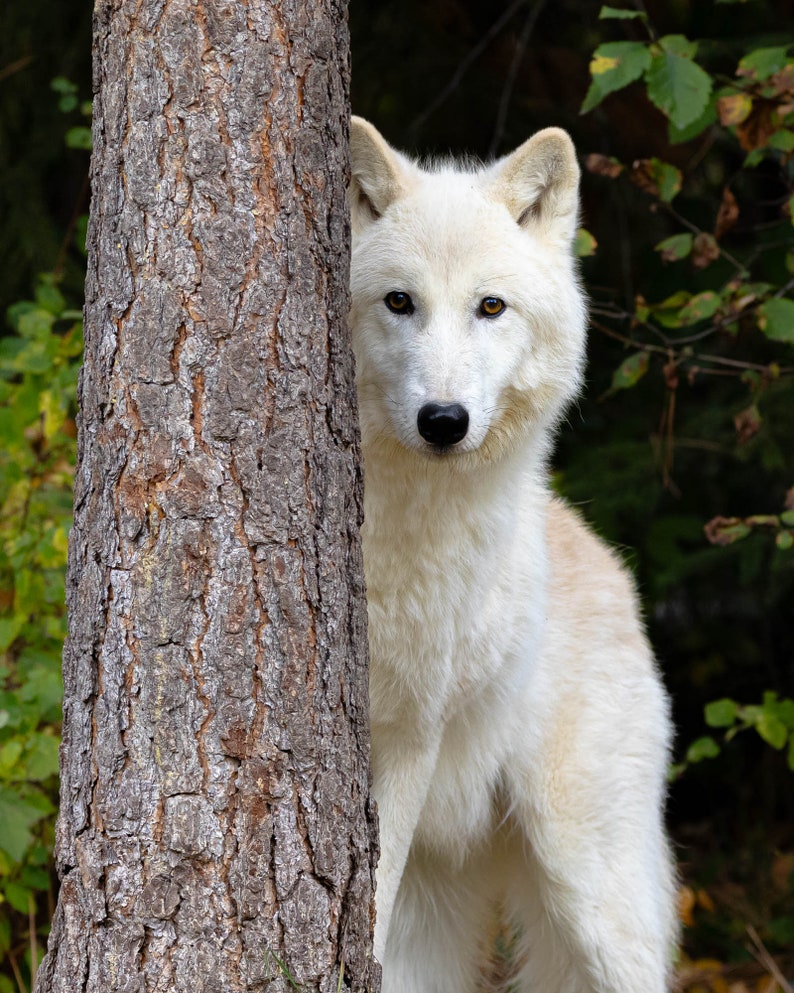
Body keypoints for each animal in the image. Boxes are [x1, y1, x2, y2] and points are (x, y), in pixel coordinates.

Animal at [348, 117, 677, 993]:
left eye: (489, 306)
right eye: (400, 301)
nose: (443, 419)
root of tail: (611, 563)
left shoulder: (409, 733)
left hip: (589, 886)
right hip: (437, 926)